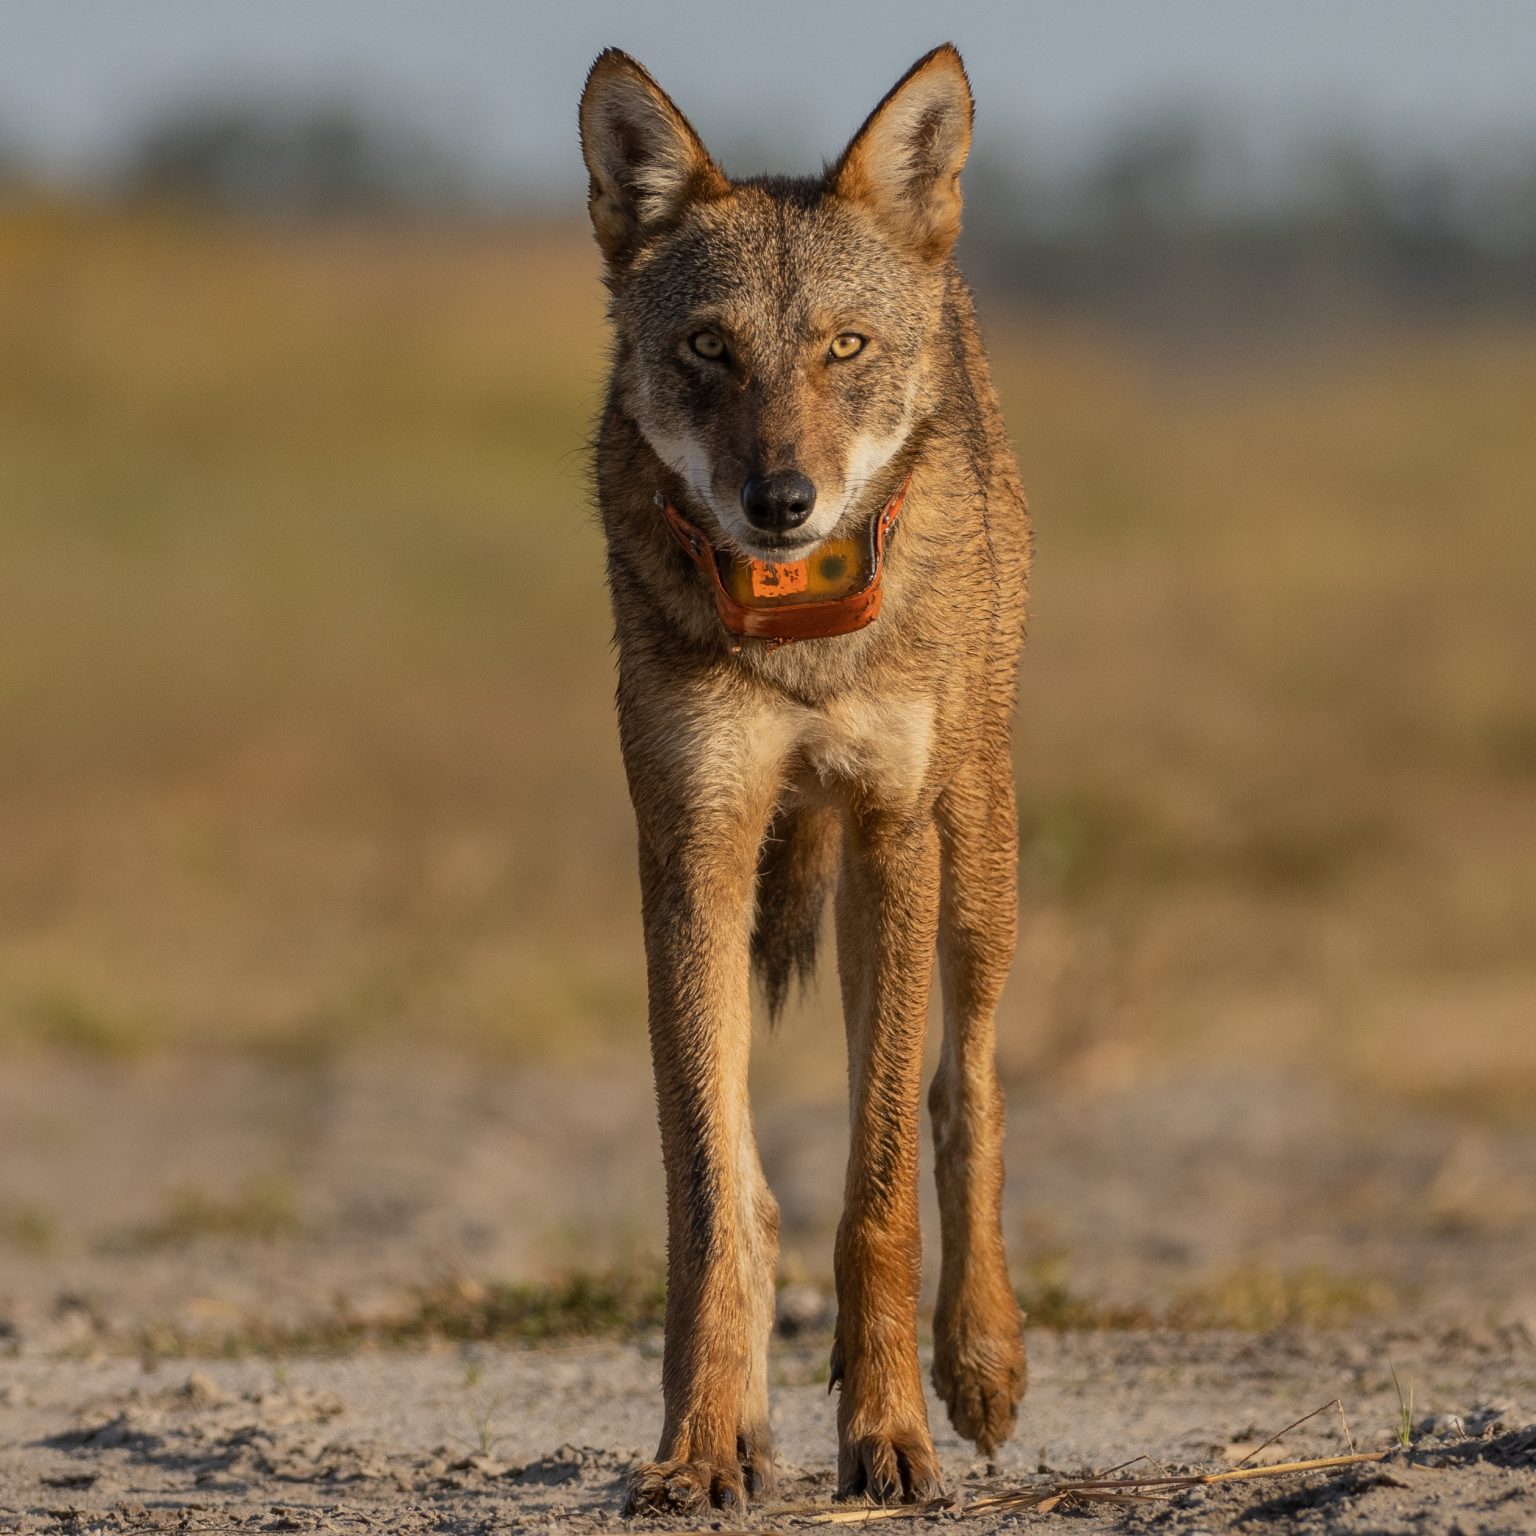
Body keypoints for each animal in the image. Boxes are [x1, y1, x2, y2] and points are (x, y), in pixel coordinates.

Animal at [579, 43, 1031, 1514]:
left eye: (843, 347)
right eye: (709, 349)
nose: (780, 500)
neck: (797, 647)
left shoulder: (893, 833)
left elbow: (880, 1191)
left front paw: (893, 1431)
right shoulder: (694, 849)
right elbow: (717, 1201)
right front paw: (701, 1444)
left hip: (974, 851)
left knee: (967, 1088)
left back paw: (983, 1364)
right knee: (772, 1185)